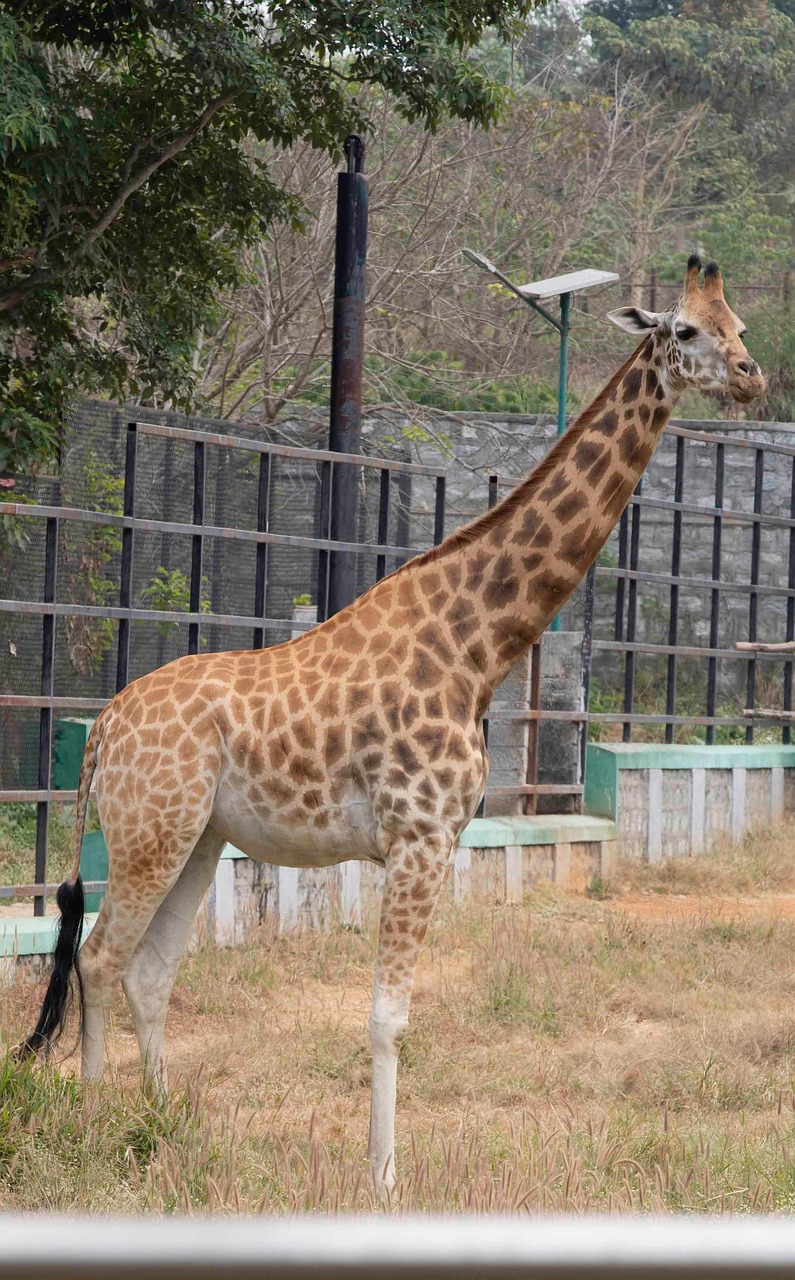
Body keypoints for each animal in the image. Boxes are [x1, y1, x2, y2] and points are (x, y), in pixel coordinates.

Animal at [19, 256, 764, 1187]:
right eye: (687, 330)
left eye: (741, 326)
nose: (753, 378)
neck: (477, 645)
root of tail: (104, 728)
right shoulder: (418, 839)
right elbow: (387, 1017)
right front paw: (383, 1177)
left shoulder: (432, 840)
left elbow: (391, 1013)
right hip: (150, 830)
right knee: (99, 956)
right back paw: (92, 1124)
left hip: (198, 837)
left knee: (147, 970)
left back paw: (167, 1129)